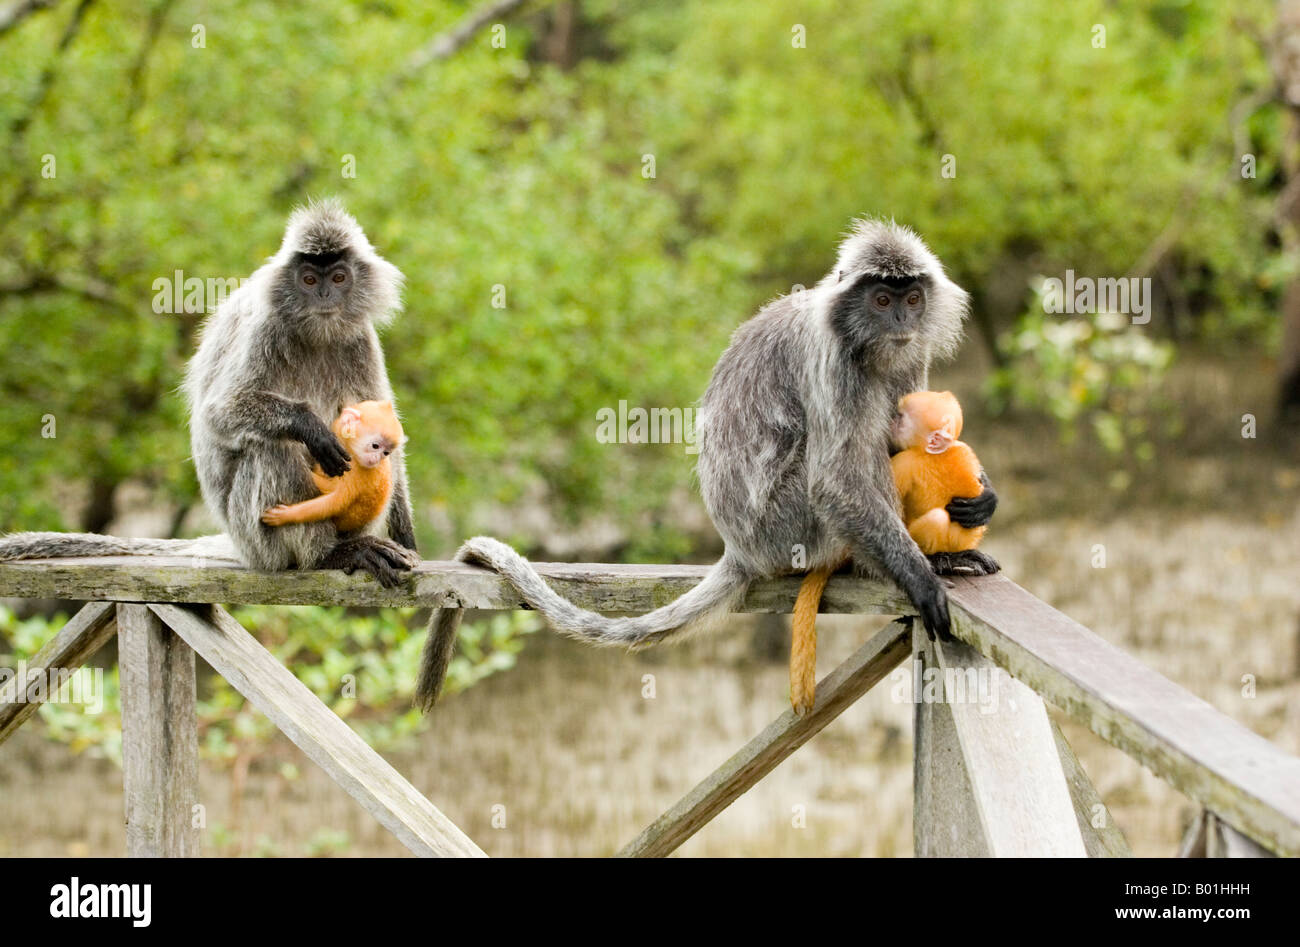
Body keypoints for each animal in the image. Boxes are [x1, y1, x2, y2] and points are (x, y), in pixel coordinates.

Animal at [261, 400, 406, 533]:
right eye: (375, 446)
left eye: (386, 453)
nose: (376, 459)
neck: (351, 453)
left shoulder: (358, 472)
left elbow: (334, 503)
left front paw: (283, 516)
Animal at [788, 389, 999, 715]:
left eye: (901, 418)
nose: (891, 421)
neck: (940, 451)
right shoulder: (961, 448)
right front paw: (986, 494)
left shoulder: (908, 460)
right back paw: (957, 557)